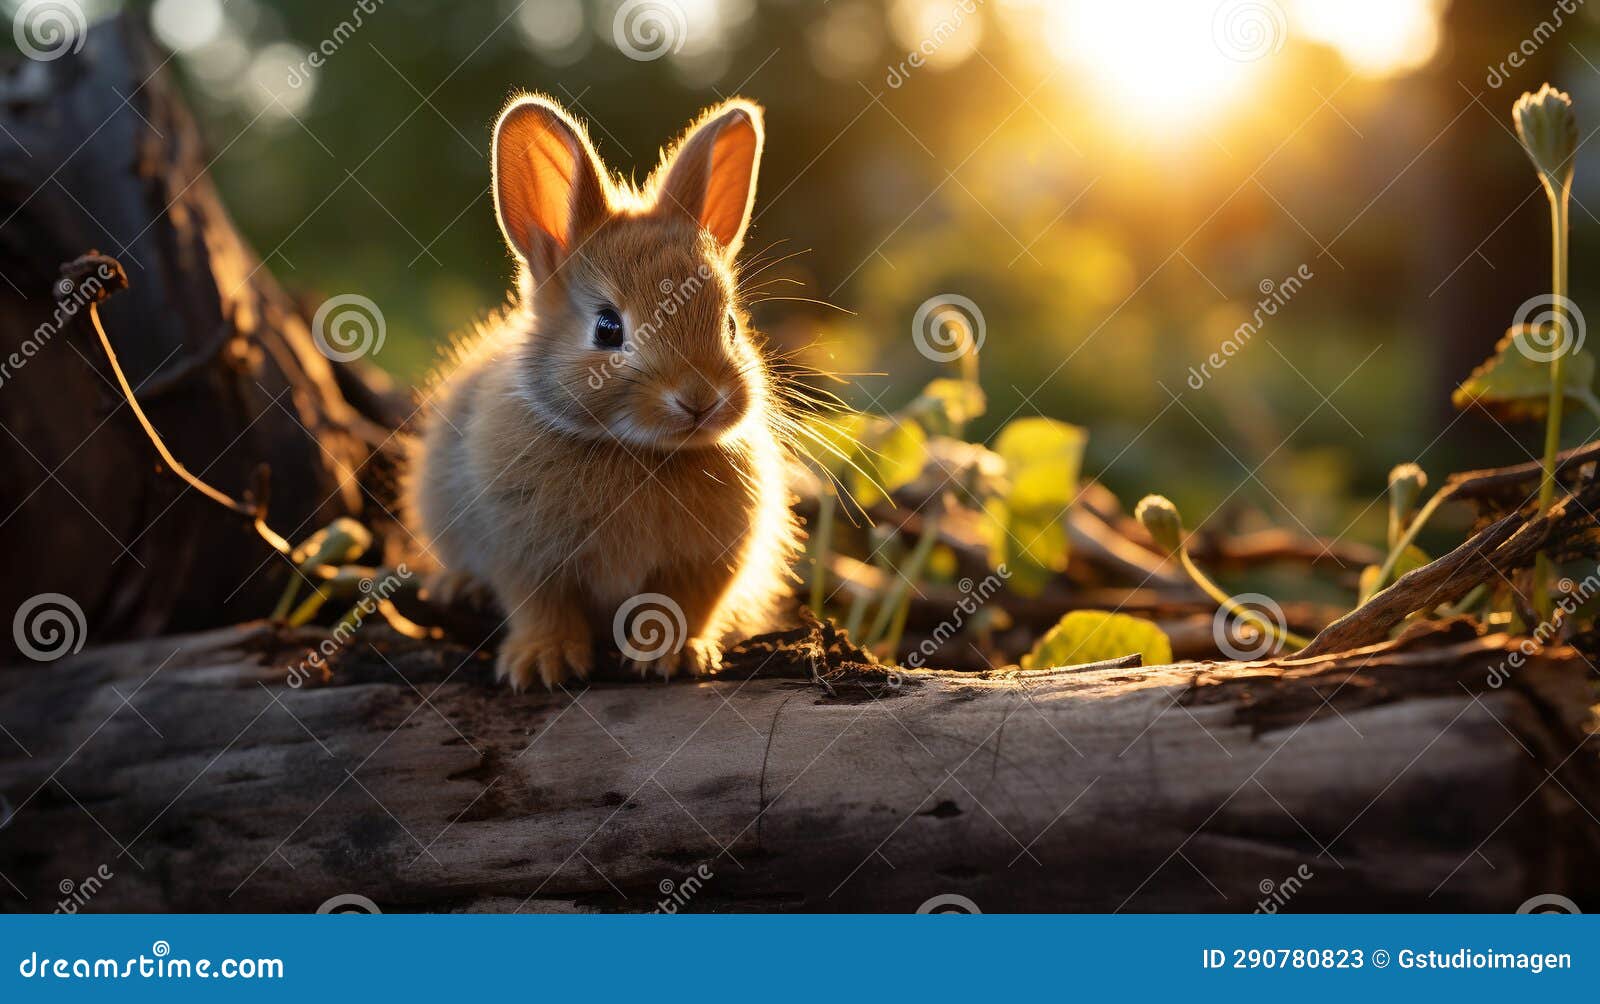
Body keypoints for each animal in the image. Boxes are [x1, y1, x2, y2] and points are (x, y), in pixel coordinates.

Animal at [405, 94, 802, 691]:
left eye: (731, 324)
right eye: (608, 328)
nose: (700, 398)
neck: (637, 451)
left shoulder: (706, 565)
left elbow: (685, 605)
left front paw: (673, 655)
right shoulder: (524, 557)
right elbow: (541, 607)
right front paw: (542, 662)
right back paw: (459, 588)